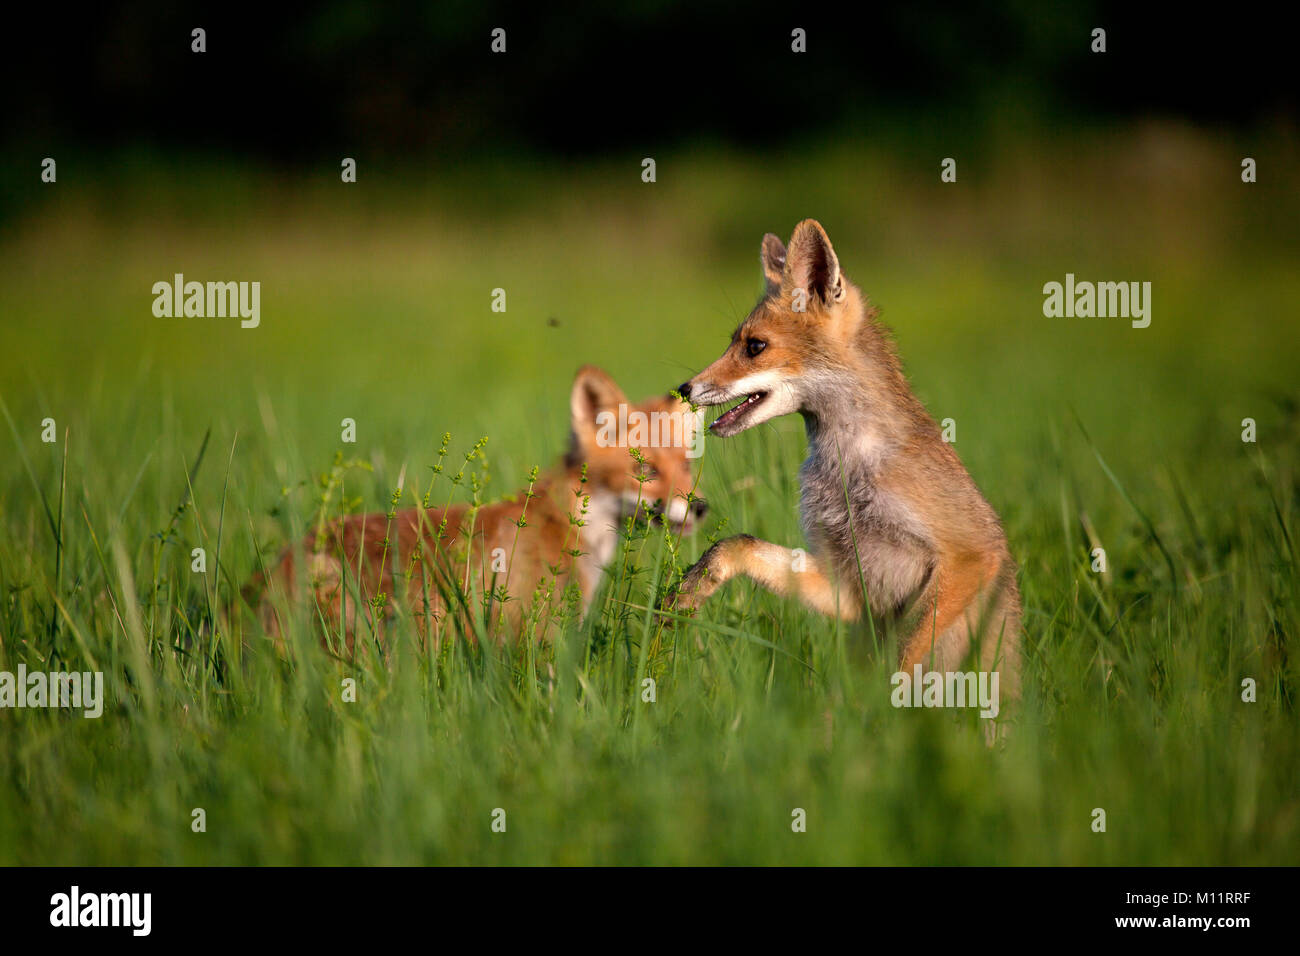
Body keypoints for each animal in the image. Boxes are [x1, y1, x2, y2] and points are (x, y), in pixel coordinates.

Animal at [669, 219, 1020, 694]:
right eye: (734, 343)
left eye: (755, 347)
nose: (684, 389)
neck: (848, 474)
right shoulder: (850, 588)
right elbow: (737, 545)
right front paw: (693, 587)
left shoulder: (971, 554)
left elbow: (903, 659)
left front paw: (877, 706)